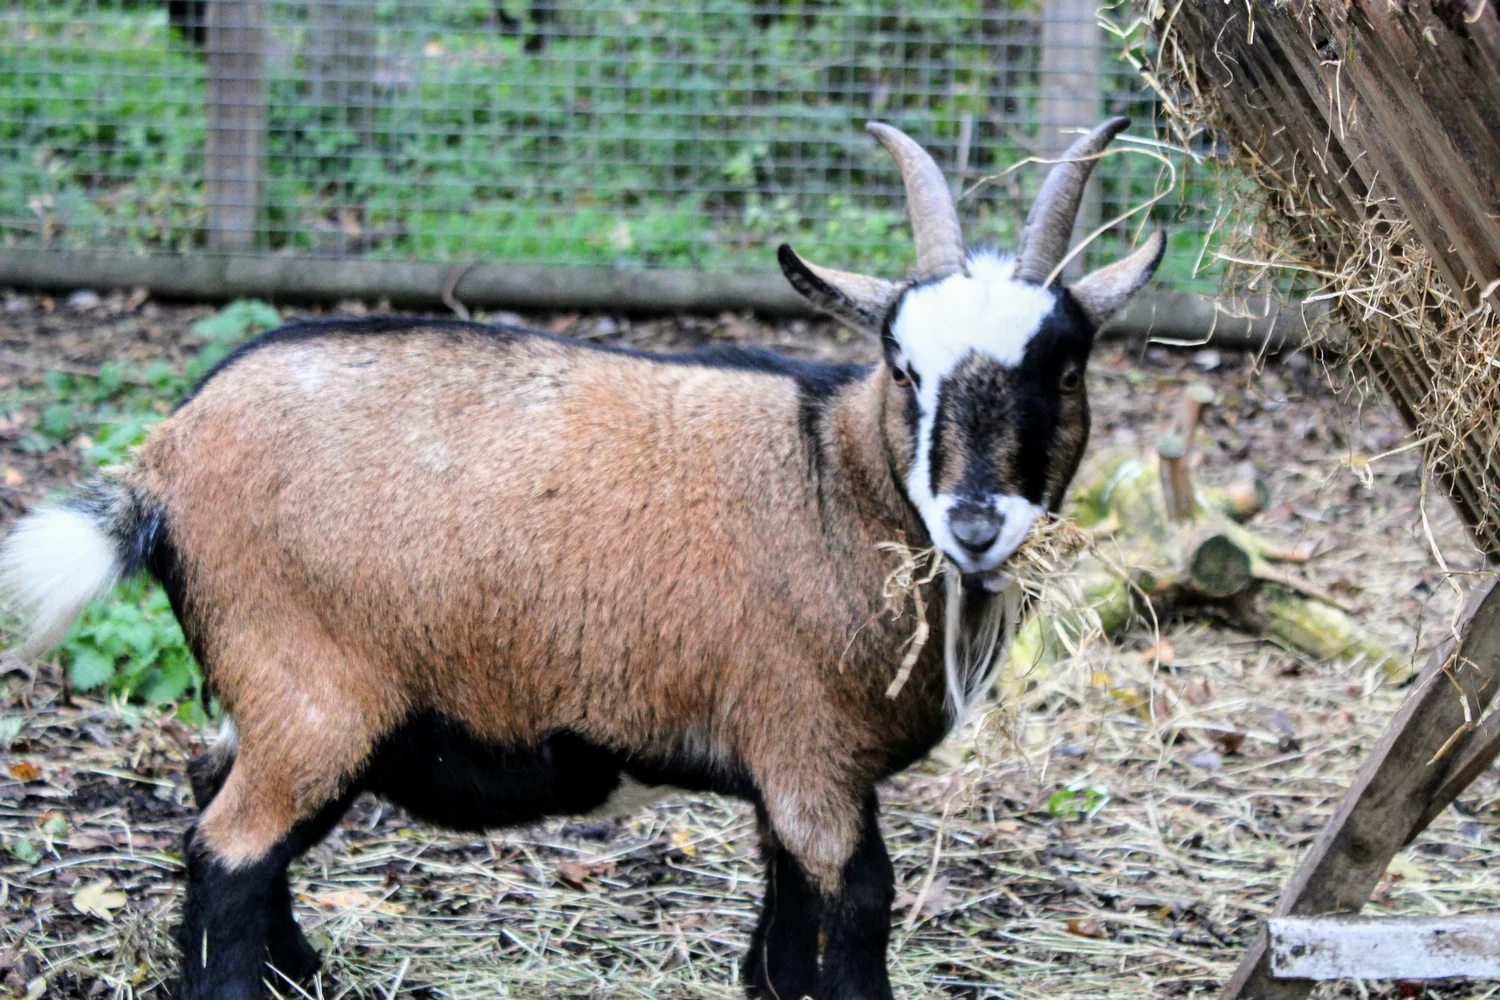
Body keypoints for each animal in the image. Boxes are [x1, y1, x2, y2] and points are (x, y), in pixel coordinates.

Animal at [0, 119, 1162, 1000]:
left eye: (1065, 367)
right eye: (903, 367)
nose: (974, 521)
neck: (833, 481)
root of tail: (162, 458)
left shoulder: (787, 763)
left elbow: (784, 933)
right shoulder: (811, 752)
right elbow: (858, 907)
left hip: (283, 697)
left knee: (219, 801)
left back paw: (309, 976)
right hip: (309, 686)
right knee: (228, 849)